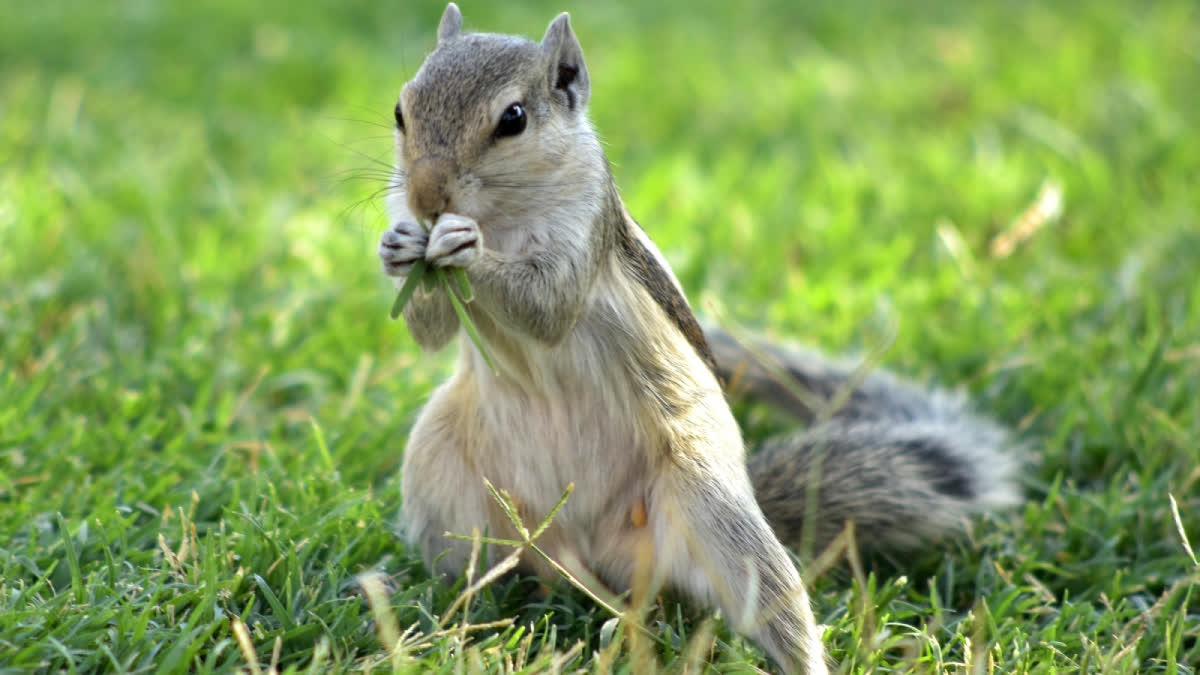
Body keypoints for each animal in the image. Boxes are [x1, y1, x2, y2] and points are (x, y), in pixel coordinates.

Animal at [376, 5, 1019, 672]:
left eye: (513, 119)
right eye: (401, 109)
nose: (425, 197)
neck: (502, 215)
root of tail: (584, 550)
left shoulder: (582, 231)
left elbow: (548, 306)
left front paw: (466, 249)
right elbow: (431, 331)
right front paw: (399, 248)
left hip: (711, 506)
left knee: (773, 601)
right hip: (440, 473)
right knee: (477, 572)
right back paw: (429, 606)